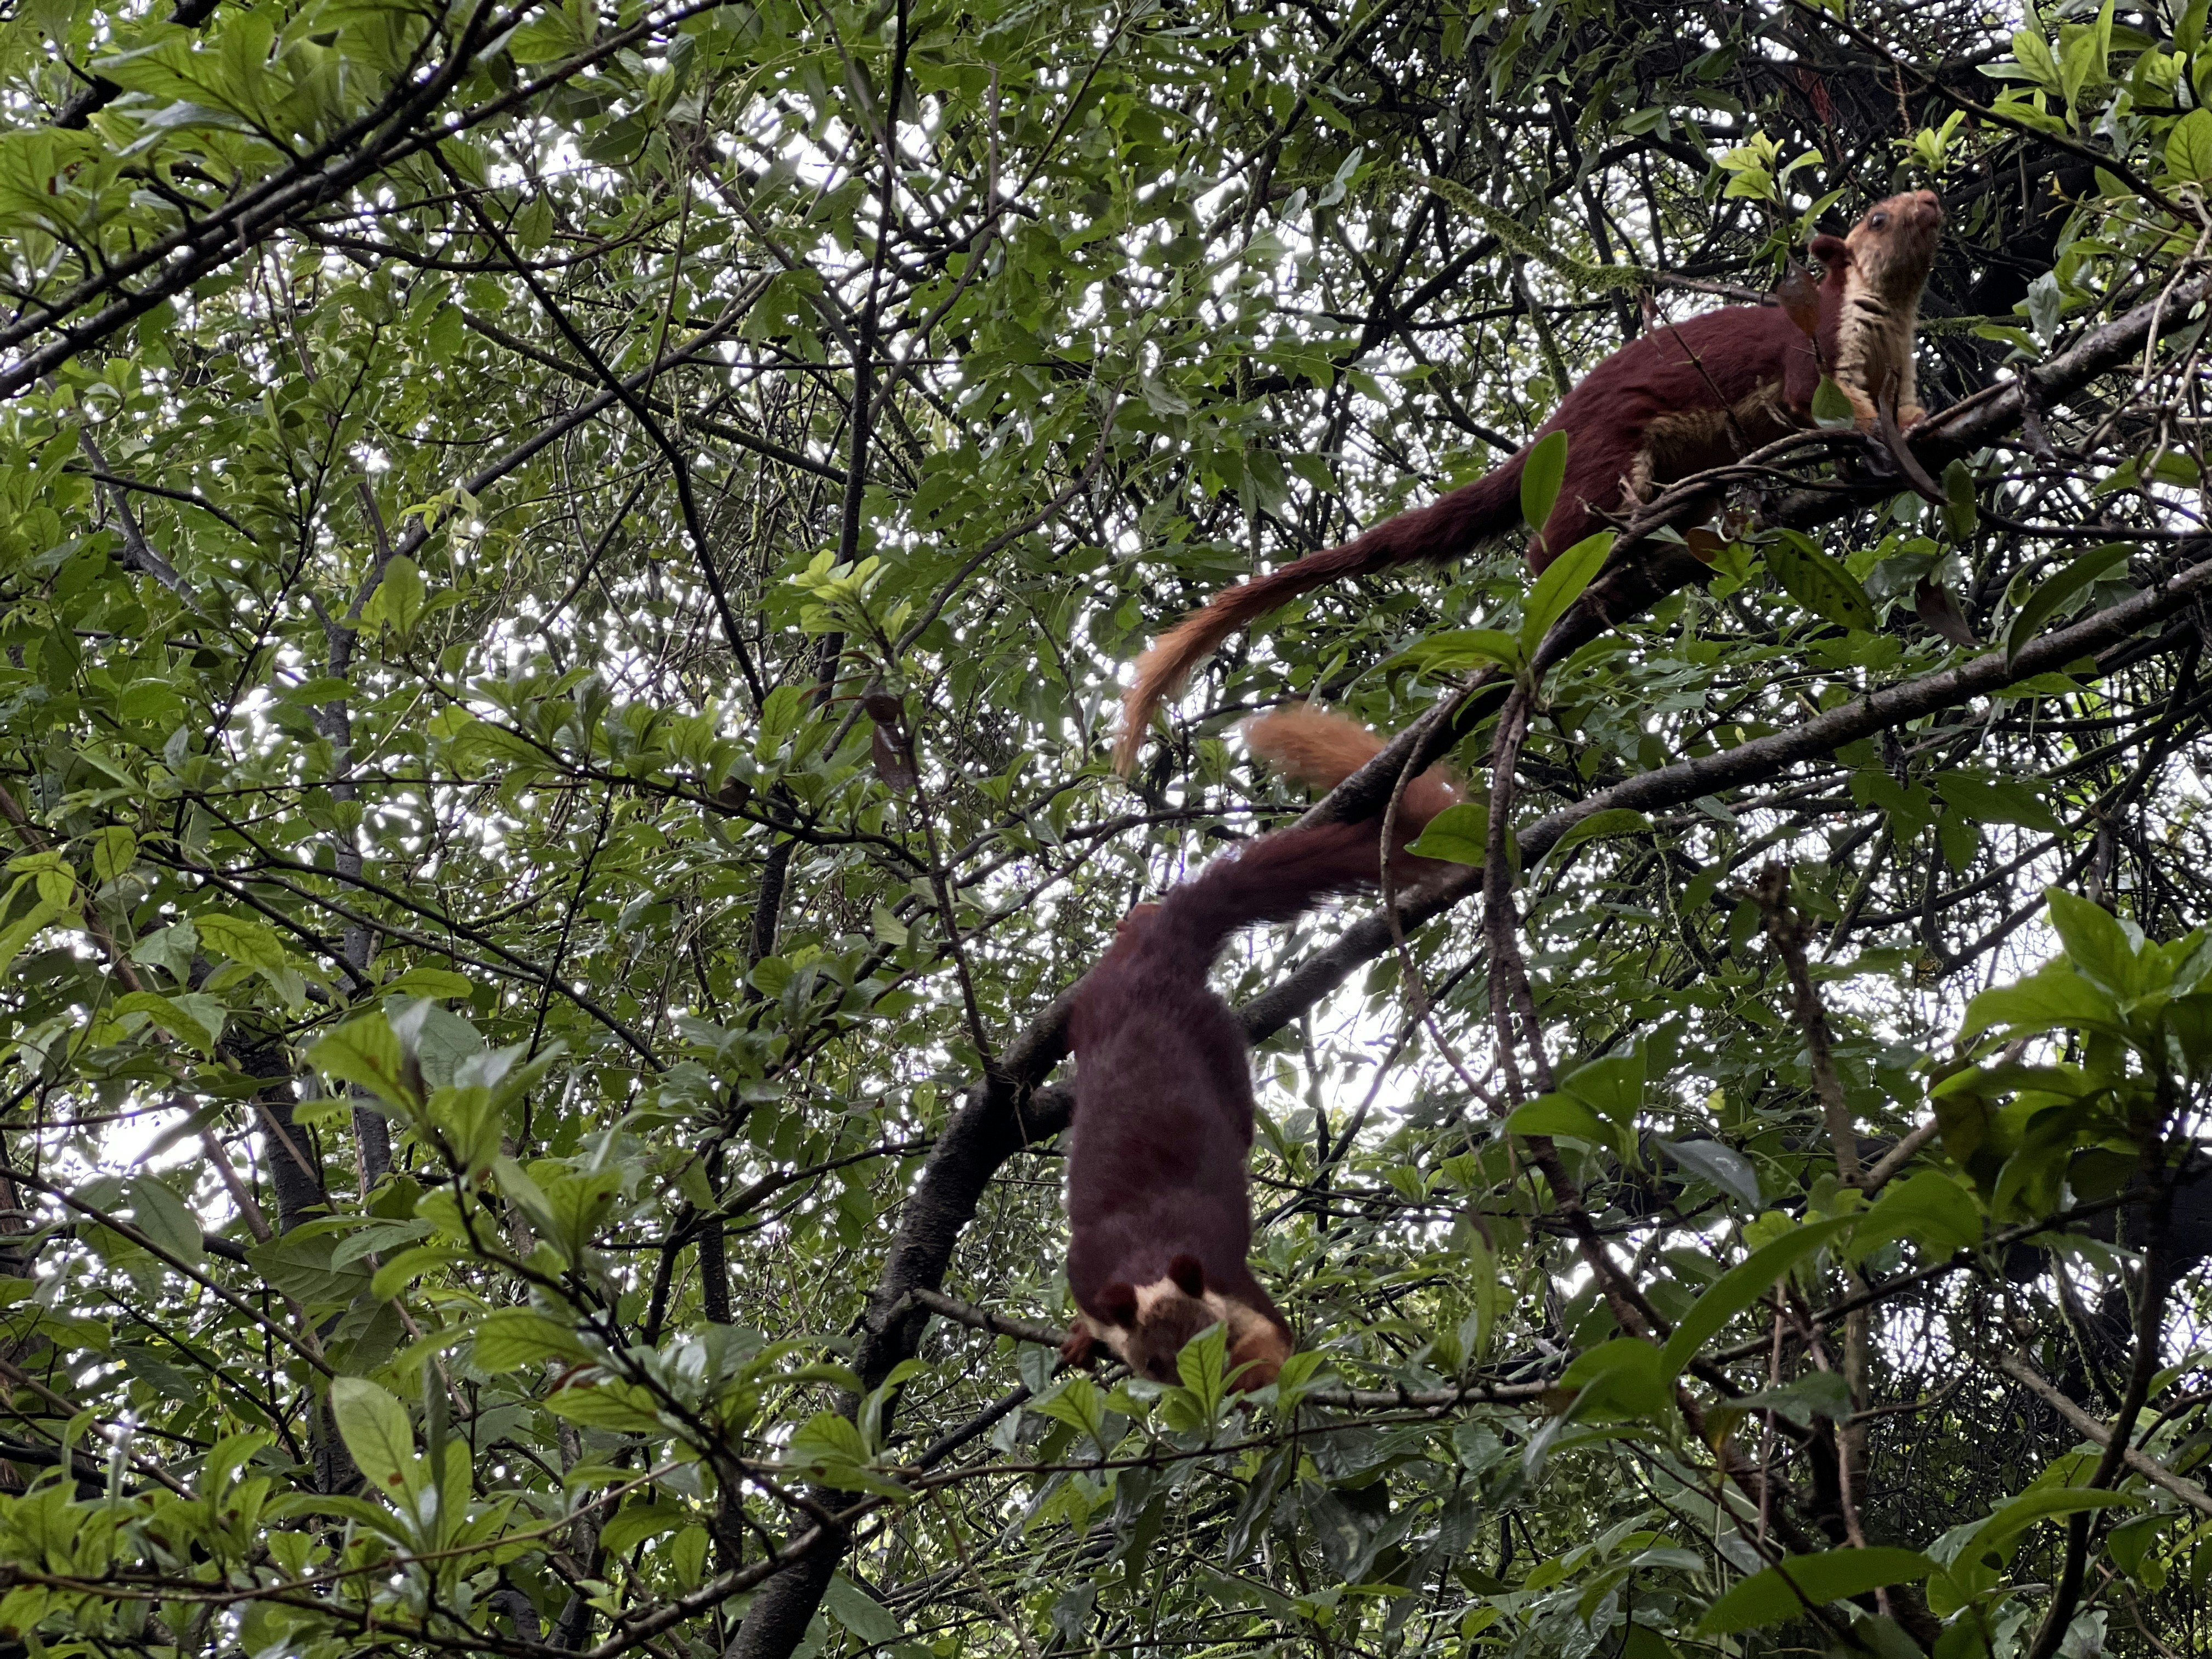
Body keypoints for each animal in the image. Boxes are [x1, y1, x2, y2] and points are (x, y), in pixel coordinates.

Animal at [1062, 707, 1464, 1386]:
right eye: (1155, 1365)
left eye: (1214, 1340)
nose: (1199, 1397)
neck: (1147, 1257)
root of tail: (1156, 967)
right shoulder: (1088, 1272)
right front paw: (1078, 1337)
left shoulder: (1229, 1279)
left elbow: (1275, 1338)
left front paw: (1261, 1381)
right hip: (1094, 1012)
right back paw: (1140, 917)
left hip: (1214, 1040)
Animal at [1114, 190, 1944, 773]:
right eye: (1878, 215)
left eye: (1914, 193)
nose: (1931, 199)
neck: (1885, 326)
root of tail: (1553, 431)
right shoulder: (1817, 355)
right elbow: (1821, 406)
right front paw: (1876, 443)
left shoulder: (1900, 367)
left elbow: (1905, 409)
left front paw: (1918, 433)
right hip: (1610, 458)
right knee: (1551, 548)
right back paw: (1601, 577)